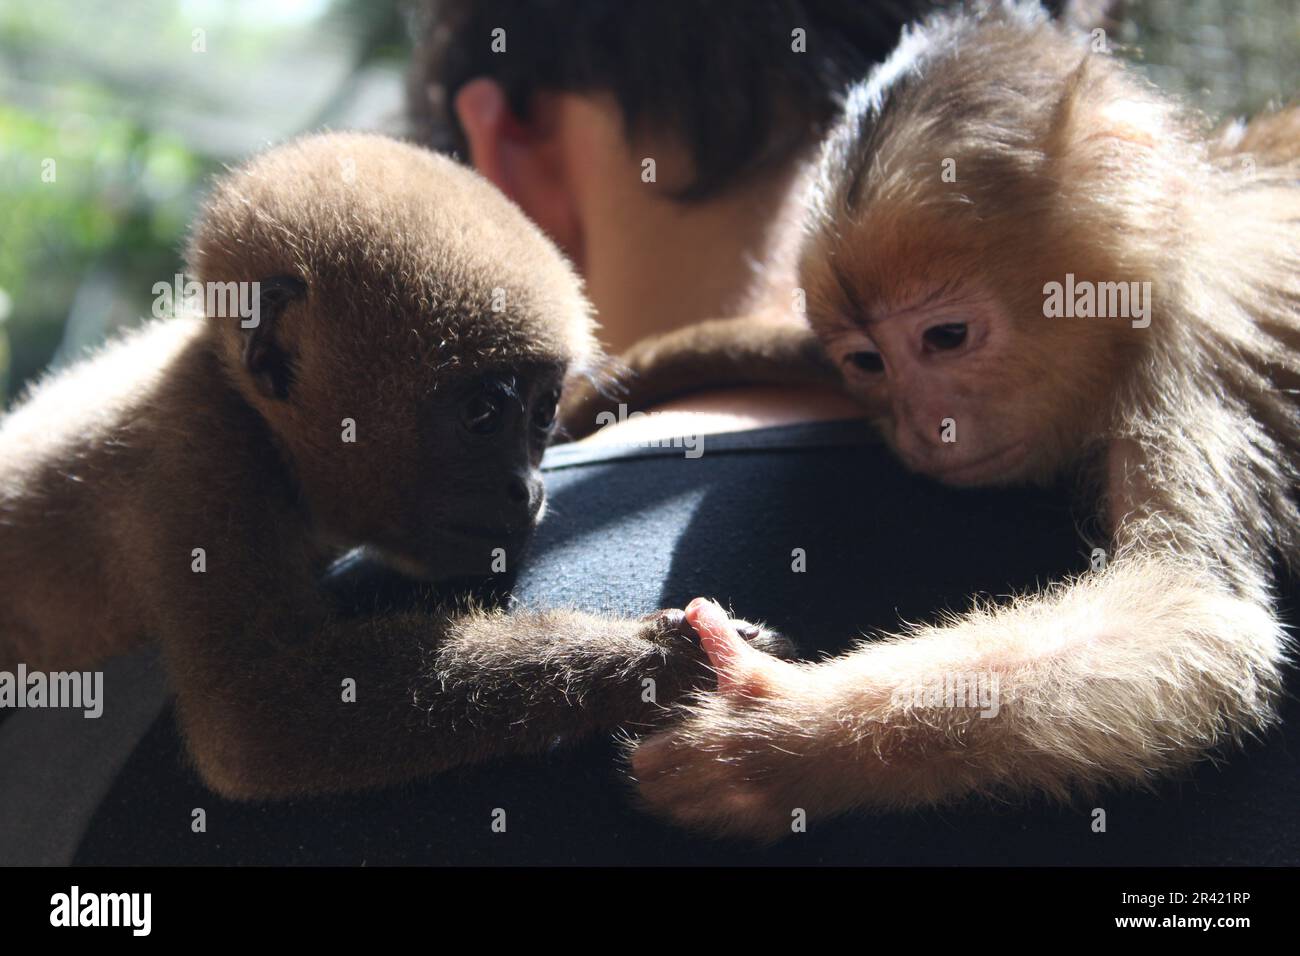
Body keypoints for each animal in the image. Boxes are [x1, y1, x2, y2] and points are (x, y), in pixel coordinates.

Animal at [0, 131, 790, 800]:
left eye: (540, 414)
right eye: (481, 415)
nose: (527, 487)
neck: (254, 412)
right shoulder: (201, 451)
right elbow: (254, 719)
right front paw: (650, 658)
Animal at [616, 1, 1300, 841]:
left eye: (946, 338)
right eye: (867, 362)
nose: (920, 426)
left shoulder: (1190, 339)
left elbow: (1196, 612)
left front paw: (780, 739)